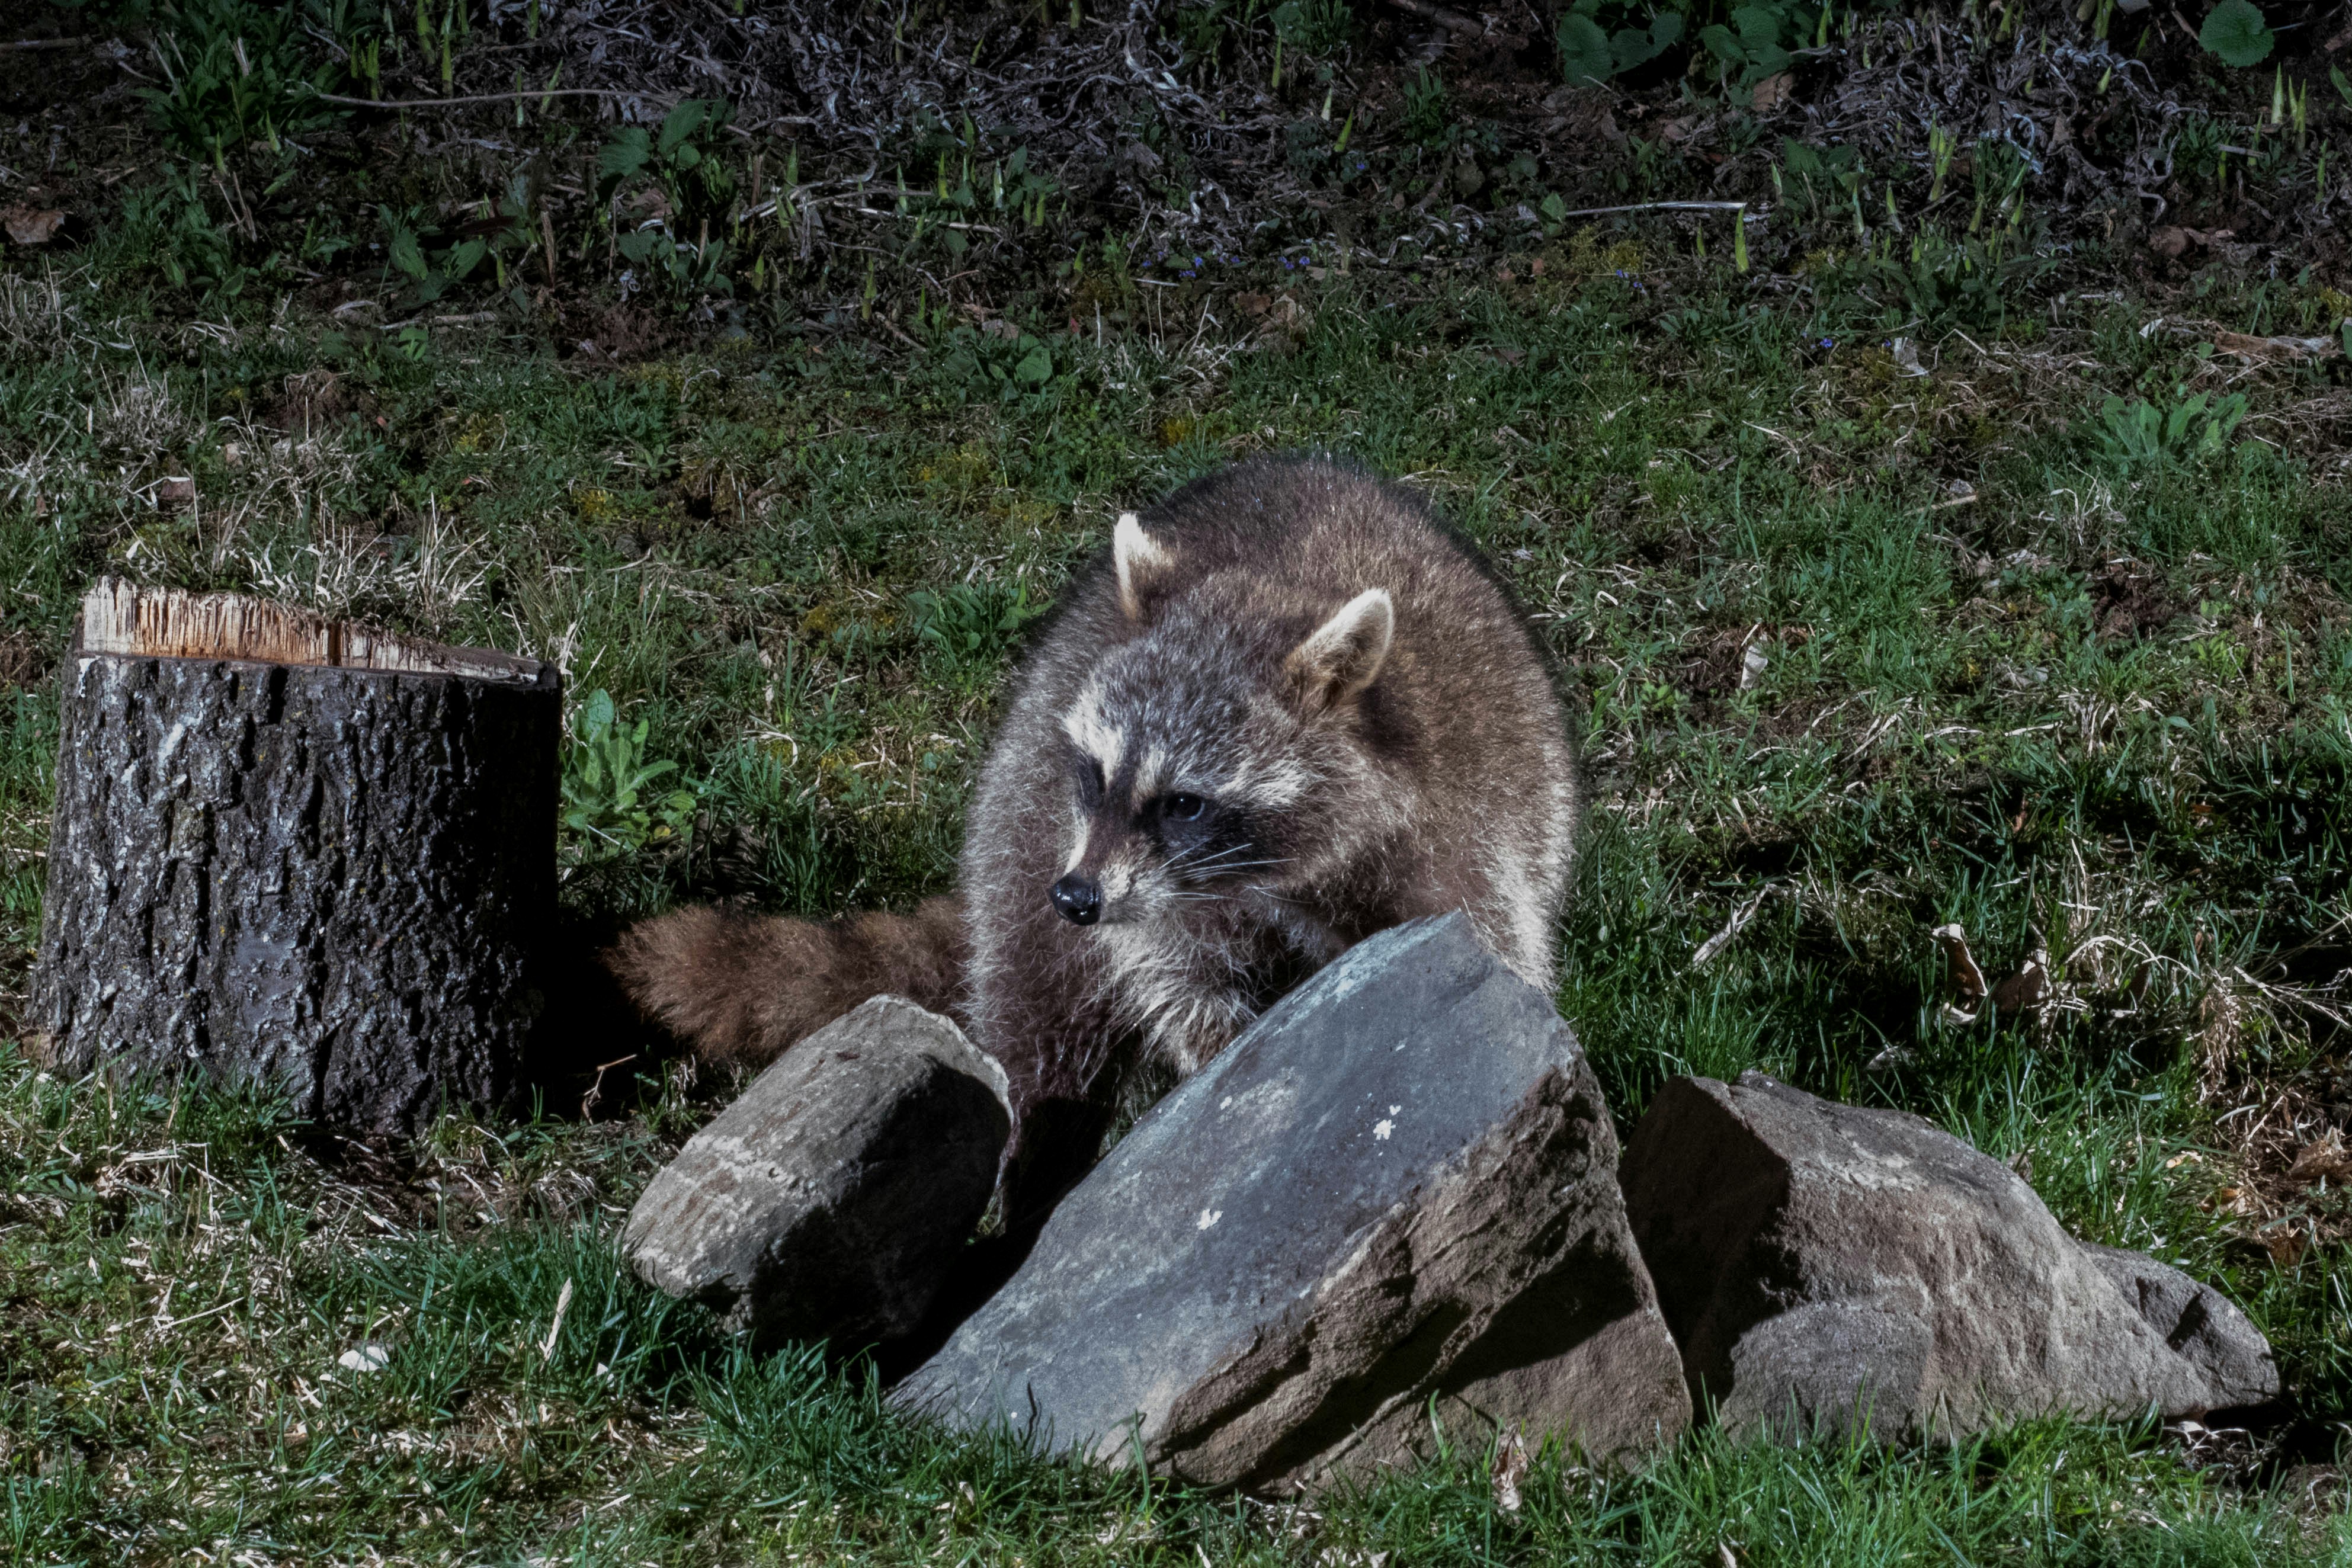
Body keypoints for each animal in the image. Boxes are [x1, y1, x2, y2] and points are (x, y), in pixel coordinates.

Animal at [611, 455, 1579, 1229]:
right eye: (1095, 772)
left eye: (1183, 803)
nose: (1075, 897)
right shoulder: (1122, 875)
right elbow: (1171, 981)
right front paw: (1225, 1065)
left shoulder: (1460, 828)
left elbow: (1492, 959)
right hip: (1016, 831)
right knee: (1042, 1038)